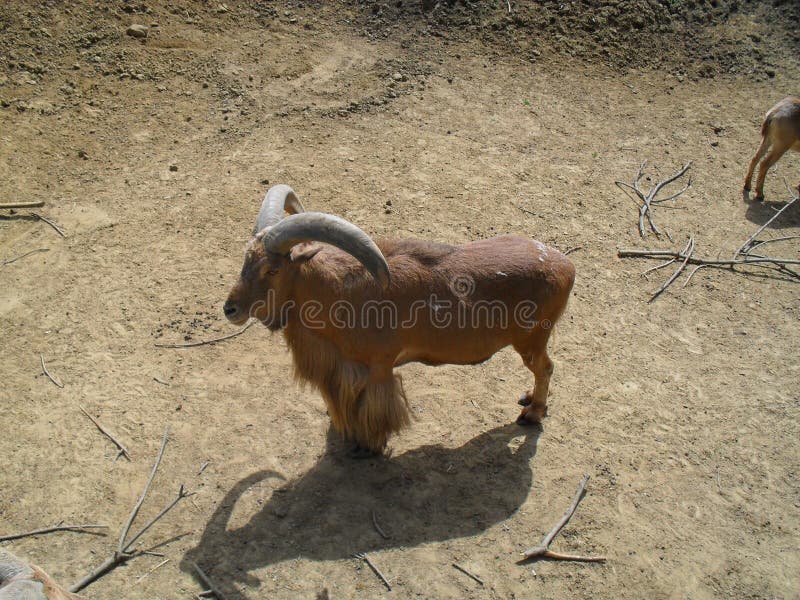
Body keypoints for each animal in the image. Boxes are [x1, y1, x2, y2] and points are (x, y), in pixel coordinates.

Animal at [224, 185, 576, 457]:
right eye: (244, 260)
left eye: (272, 269)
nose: (231, 309)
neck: (336, 293)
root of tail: (565, 265)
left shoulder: (378, 367)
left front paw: (369, 447)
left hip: (531, 339)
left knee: (546, 367)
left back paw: (533, 412)